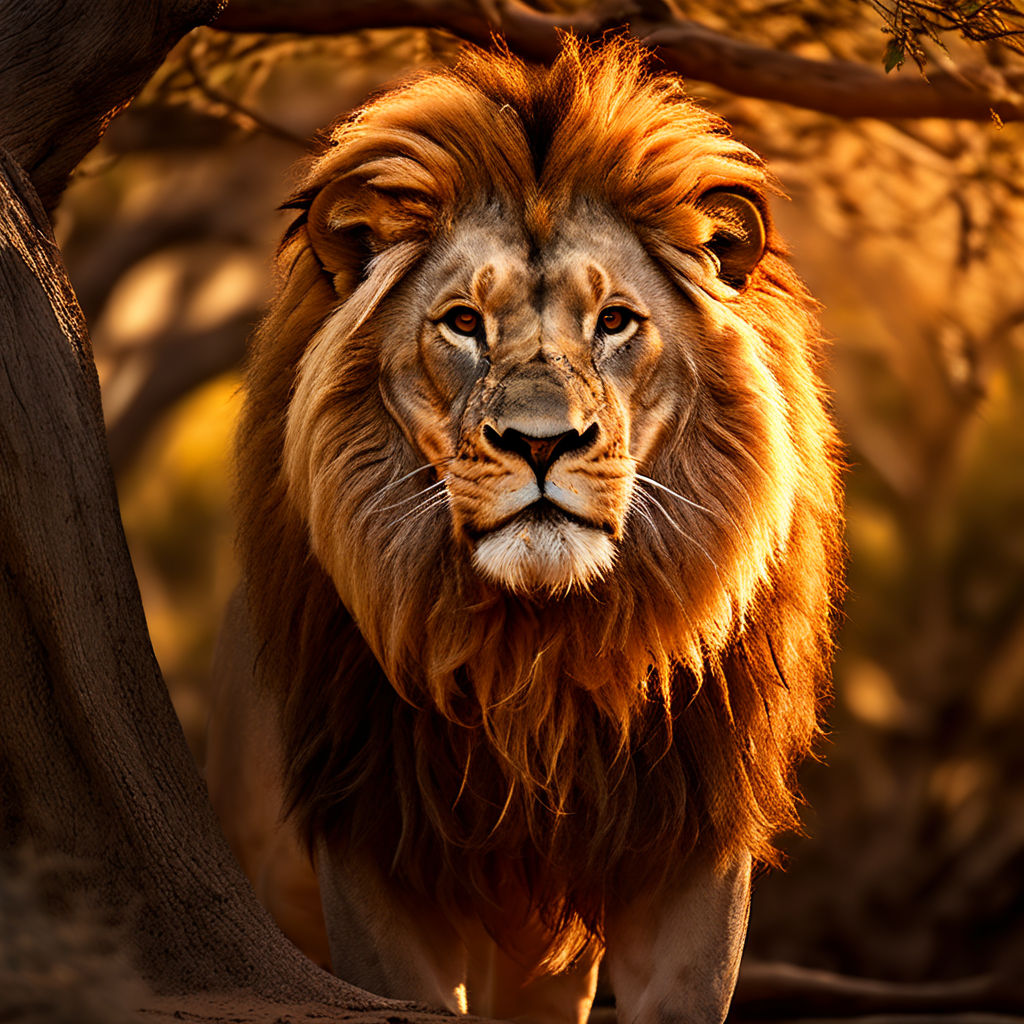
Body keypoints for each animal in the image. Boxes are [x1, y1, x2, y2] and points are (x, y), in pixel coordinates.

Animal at [205, 37, 843, 1024]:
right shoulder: (374, 838)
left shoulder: (690, 839)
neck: (540, 655)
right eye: (463, 323)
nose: (542, 442)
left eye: (615, 320)